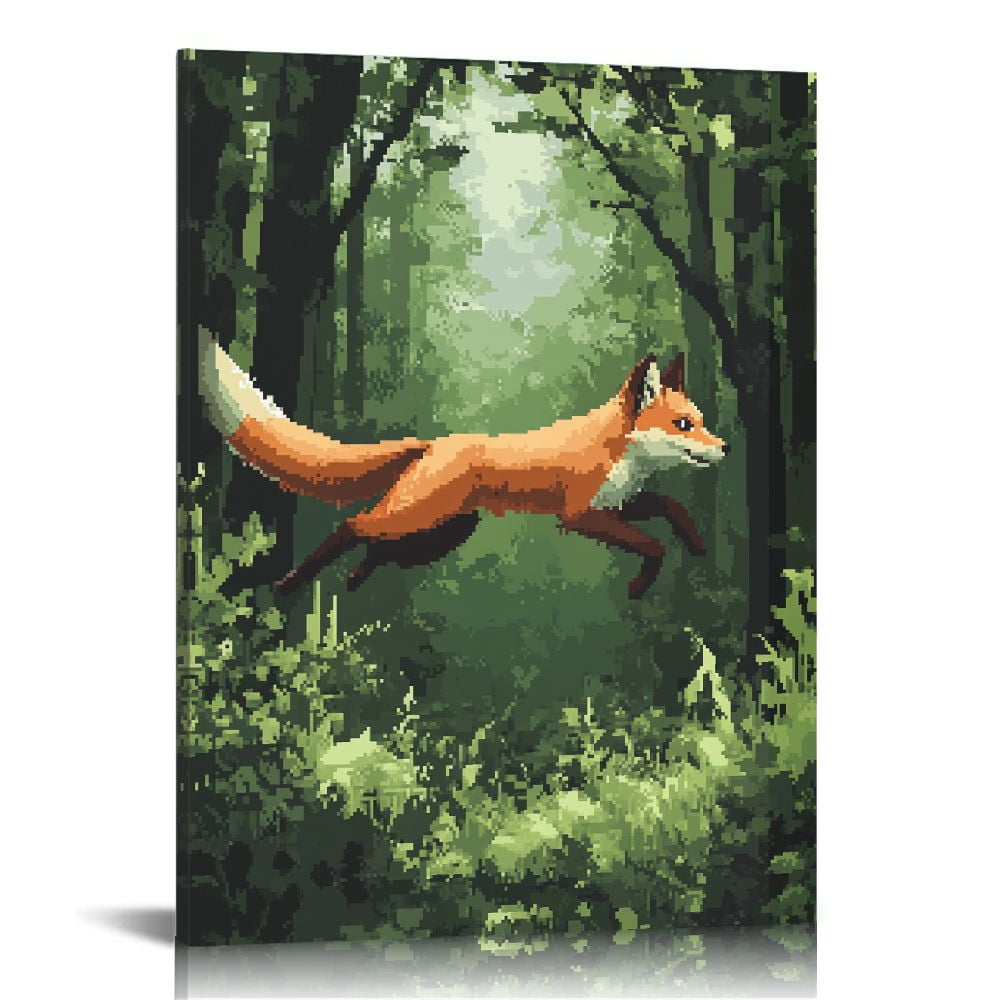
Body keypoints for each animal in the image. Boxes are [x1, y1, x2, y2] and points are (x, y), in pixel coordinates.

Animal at [197, 328, 728, 599]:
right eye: (684, 424)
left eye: (700, 421)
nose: (724, 447)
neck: (619, 453)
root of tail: (431, 443)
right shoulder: (579, 514)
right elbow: (652, 545)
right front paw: (641, 584)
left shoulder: (617, 504)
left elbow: (670, 508)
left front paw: (698, 544)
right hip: (417, 518)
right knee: (354, 525)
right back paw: (289, 584)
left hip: (446, 532)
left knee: (376, 546)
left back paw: (351, 580)